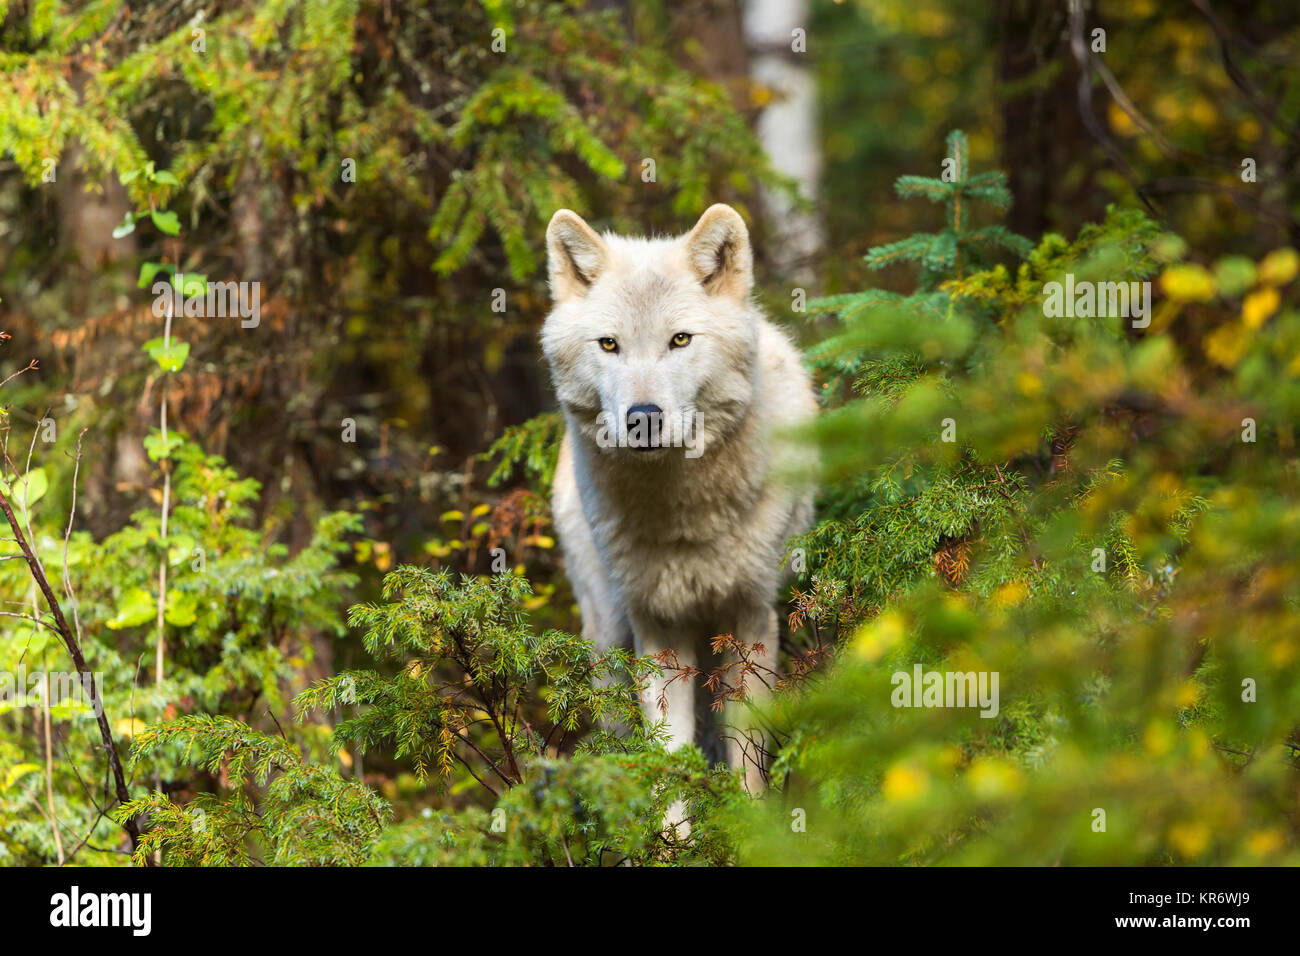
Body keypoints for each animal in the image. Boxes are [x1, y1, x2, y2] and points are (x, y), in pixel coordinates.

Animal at [541, 203, 817, 793]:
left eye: (680, 340)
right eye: (609, 344)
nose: (643, 417)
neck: (684, 518)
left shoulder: (750, 616)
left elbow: (748, 757)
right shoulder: (657, 625)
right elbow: (666, 755)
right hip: (607, 637)